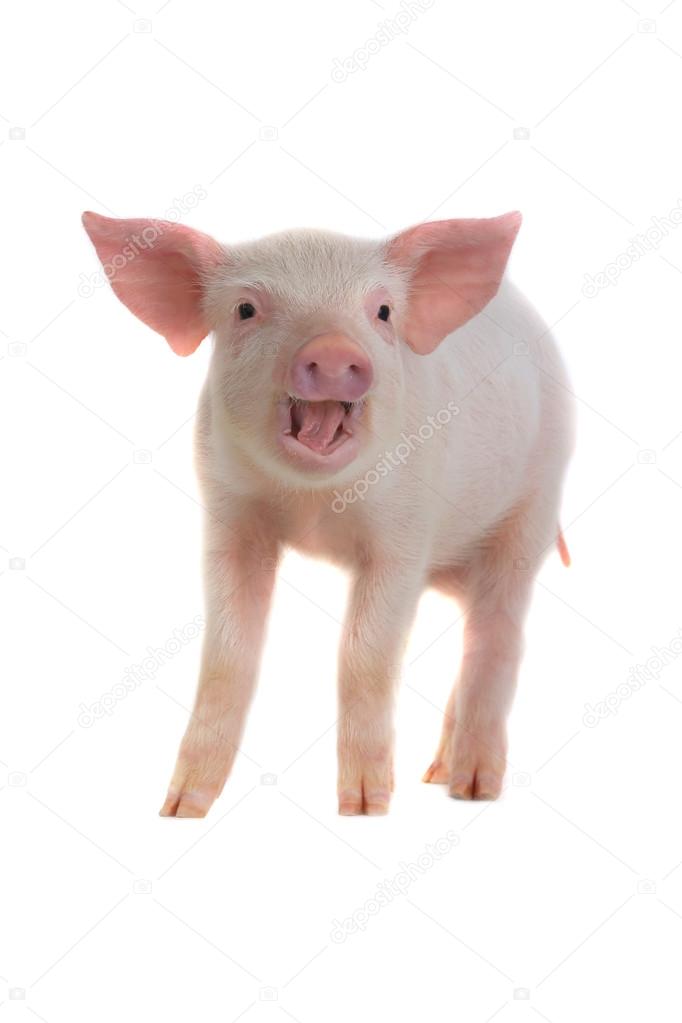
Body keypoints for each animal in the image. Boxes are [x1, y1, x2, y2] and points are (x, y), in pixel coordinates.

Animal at [82, 210, 574, 817]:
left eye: (382, 311)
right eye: (245, 309)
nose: (336, 350)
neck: (314, 503)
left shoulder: (405, 533)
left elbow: (364, 655)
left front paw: (364, 808)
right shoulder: (228, 512)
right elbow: (227, 653)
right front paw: (180, 809)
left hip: (536, 498)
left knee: (499, 636)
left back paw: (472, 789)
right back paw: (435, 773)